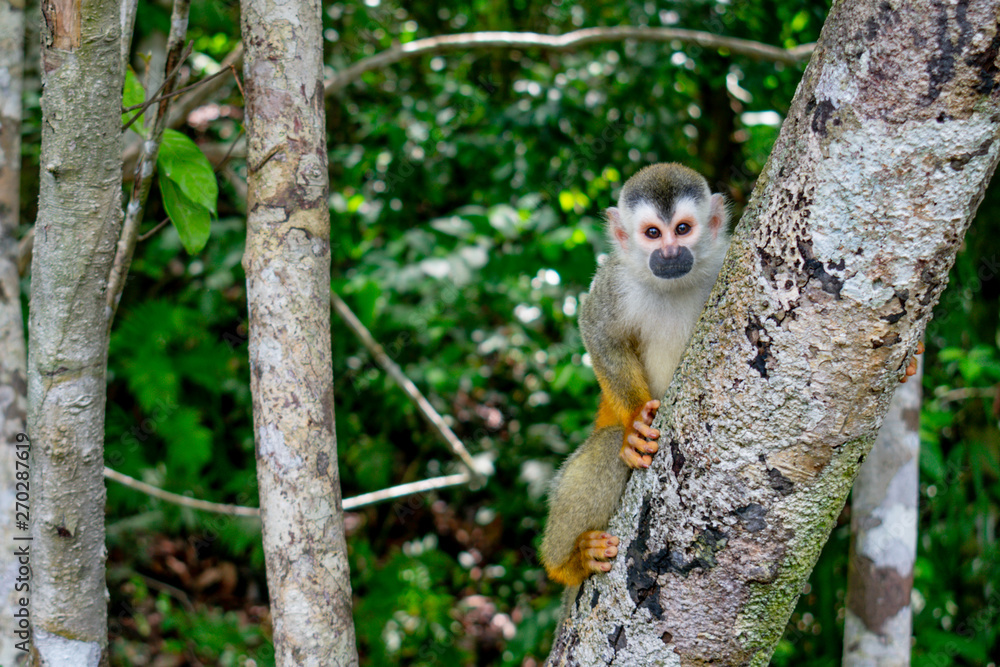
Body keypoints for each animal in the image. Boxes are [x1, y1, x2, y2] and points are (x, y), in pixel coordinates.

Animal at [540, 163, 730, 587]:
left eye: (682, 229)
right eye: (653, 233)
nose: (670, 253)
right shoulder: (615, 280)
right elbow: (597, 332)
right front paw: (634, 427)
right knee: (608, 445)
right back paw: (570, 561)